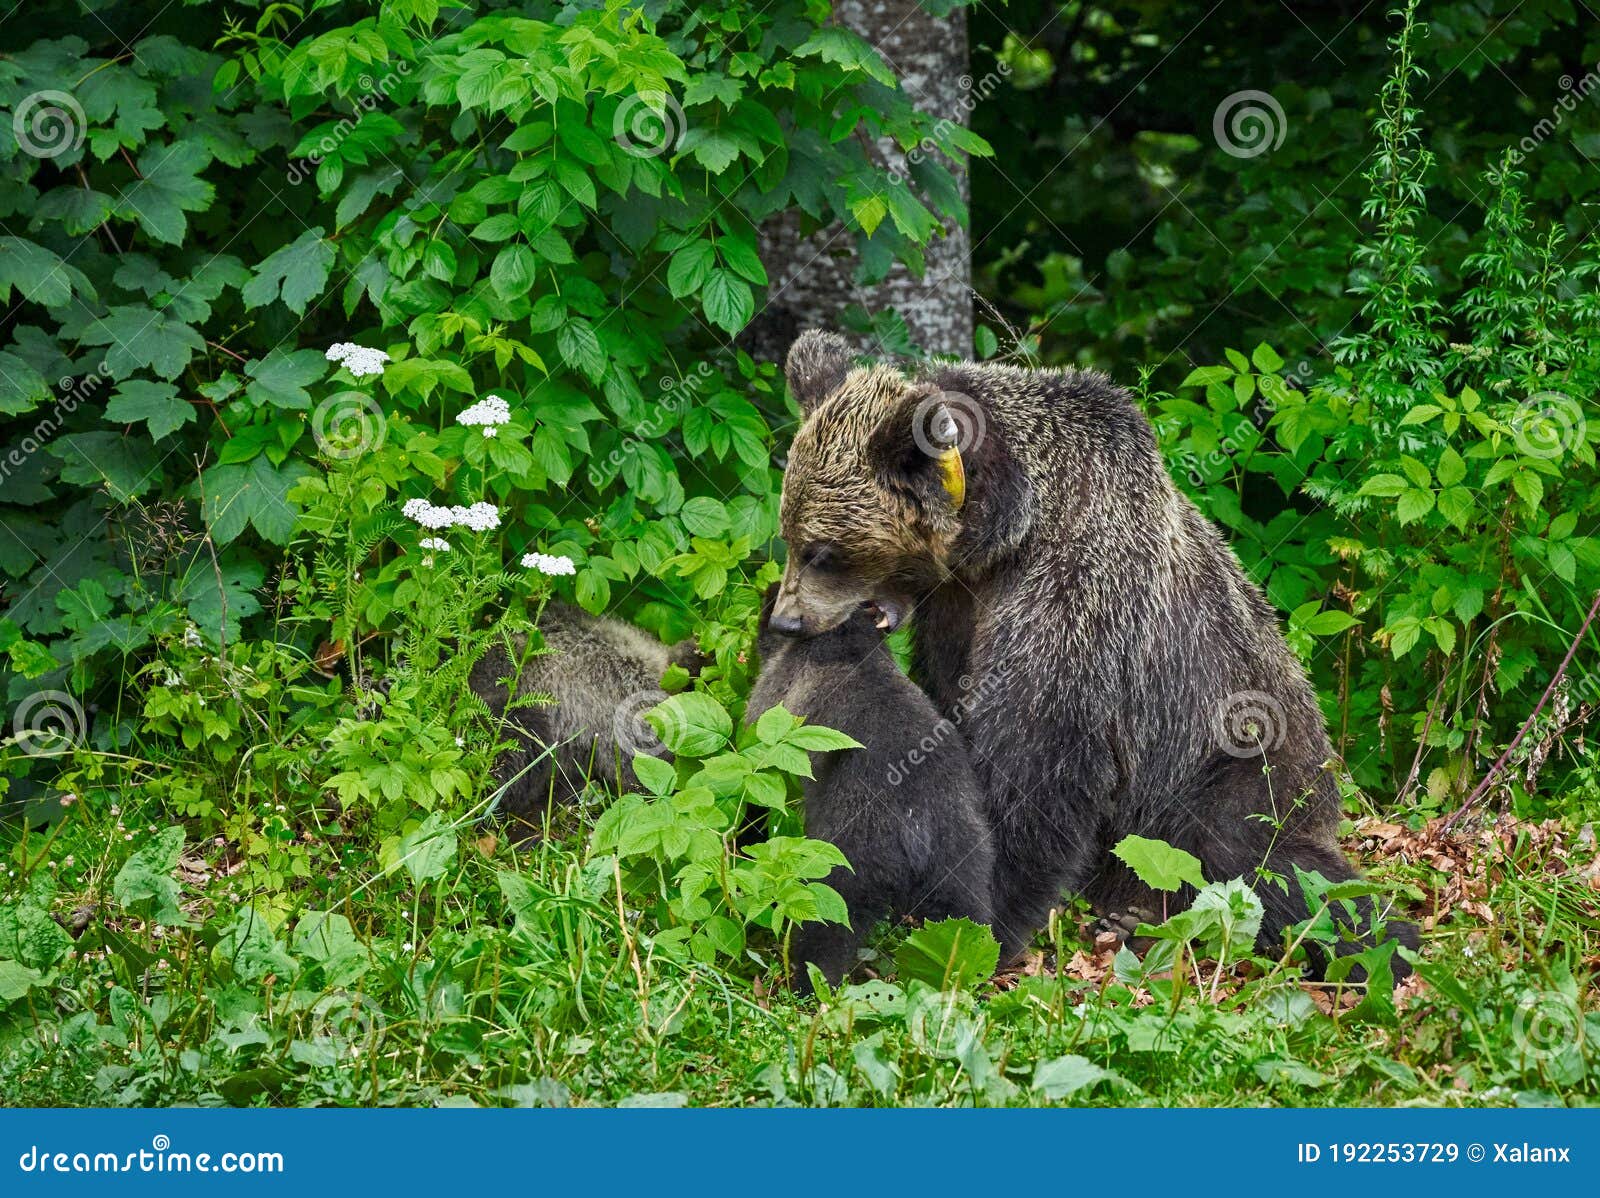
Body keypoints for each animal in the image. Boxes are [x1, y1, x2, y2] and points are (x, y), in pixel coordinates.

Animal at [747, 584, 995, 991]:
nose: (766, 598)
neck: (850, 641)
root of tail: (917, 826)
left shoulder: (772, 699)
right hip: (964, 860)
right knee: (963, 918)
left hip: (846, 866)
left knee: (827, 924)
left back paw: (807, 982)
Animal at [769, 329, 1418, 978]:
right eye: (790, 536)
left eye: (823, 551)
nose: (785, 619)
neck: (1006, 528)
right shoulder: (958, 610)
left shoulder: (1079, 594)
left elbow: (1039, 756)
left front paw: (989, 921)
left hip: (1243, 765)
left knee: (1270, 866)